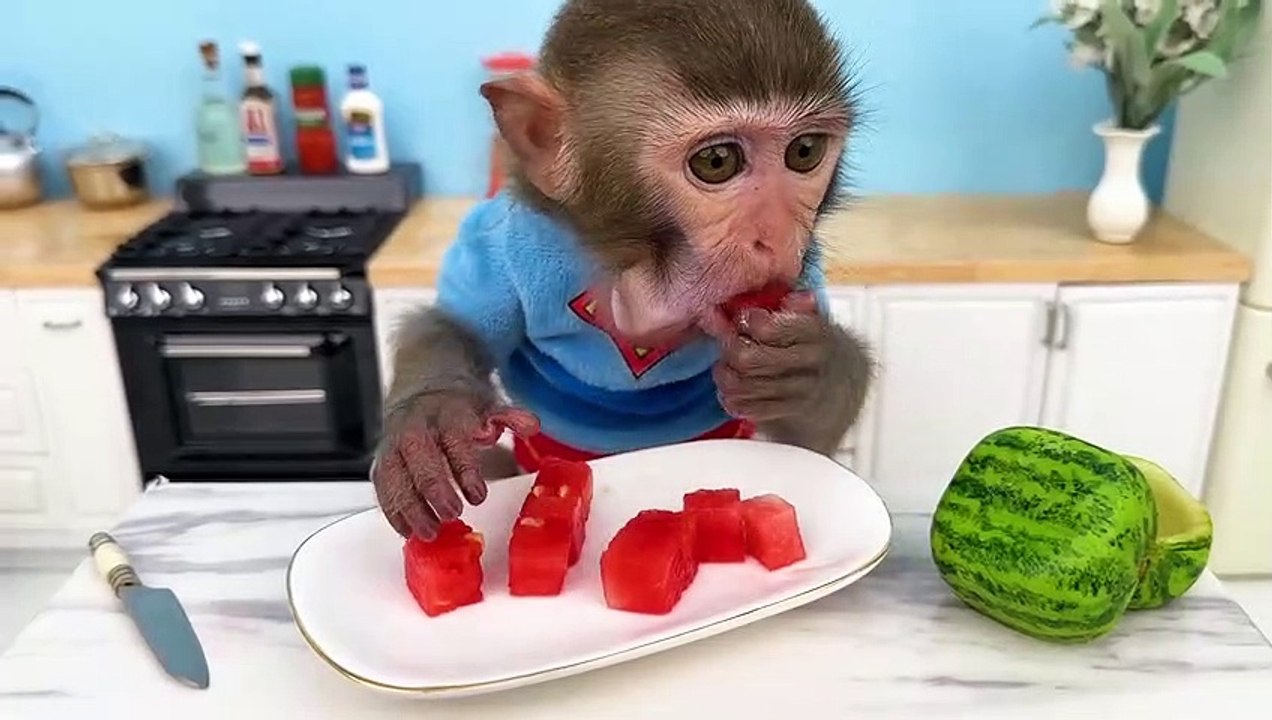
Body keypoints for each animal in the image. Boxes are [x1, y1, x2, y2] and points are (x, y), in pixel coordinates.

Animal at [373, 0, 875, 541]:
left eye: (804, 152)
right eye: (717, 161)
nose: (778, 238)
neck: (630, 267)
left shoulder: (801, 281)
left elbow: (802, 444)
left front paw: (811, 372)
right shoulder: (508, 242)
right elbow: (453, 327)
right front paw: (430, 413)